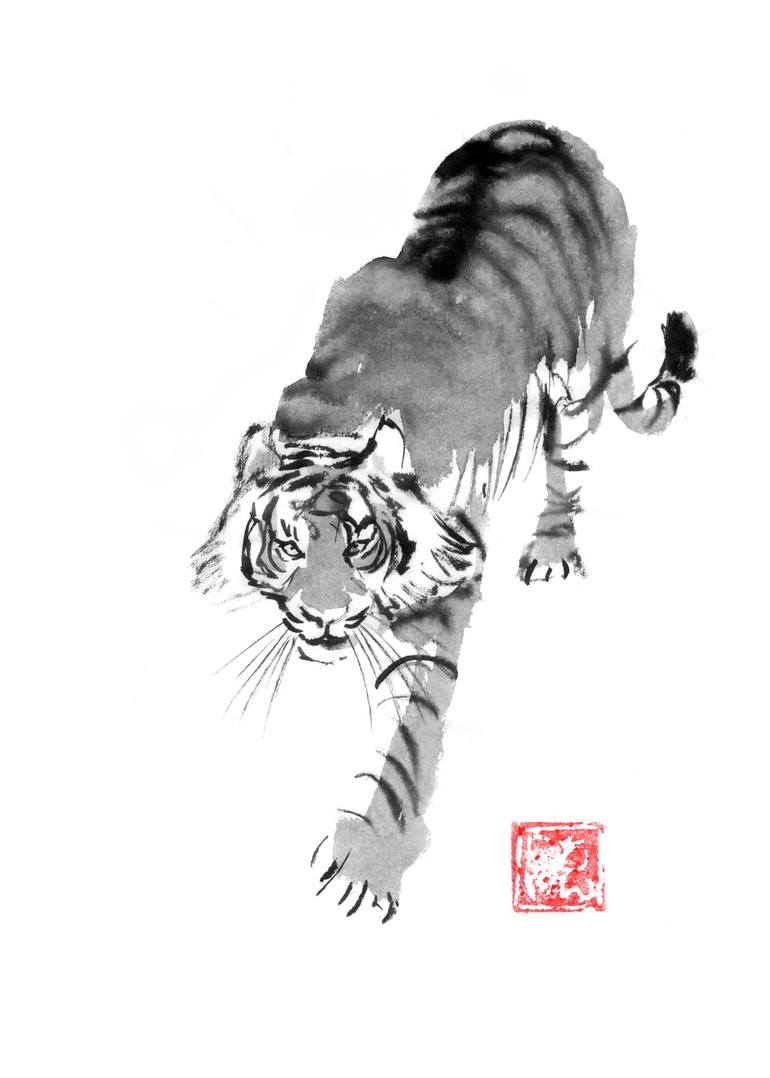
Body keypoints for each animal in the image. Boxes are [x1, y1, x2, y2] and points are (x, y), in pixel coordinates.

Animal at [192, 120, 697, 923]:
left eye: (362, 543)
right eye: (288, 545)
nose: (324, 621)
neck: (339, 414)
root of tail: (546, 129)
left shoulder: (442, 594)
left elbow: (407, 733)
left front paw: (367, 863)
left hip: (581, 371)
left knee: (569, 460)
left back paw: (552, 549)